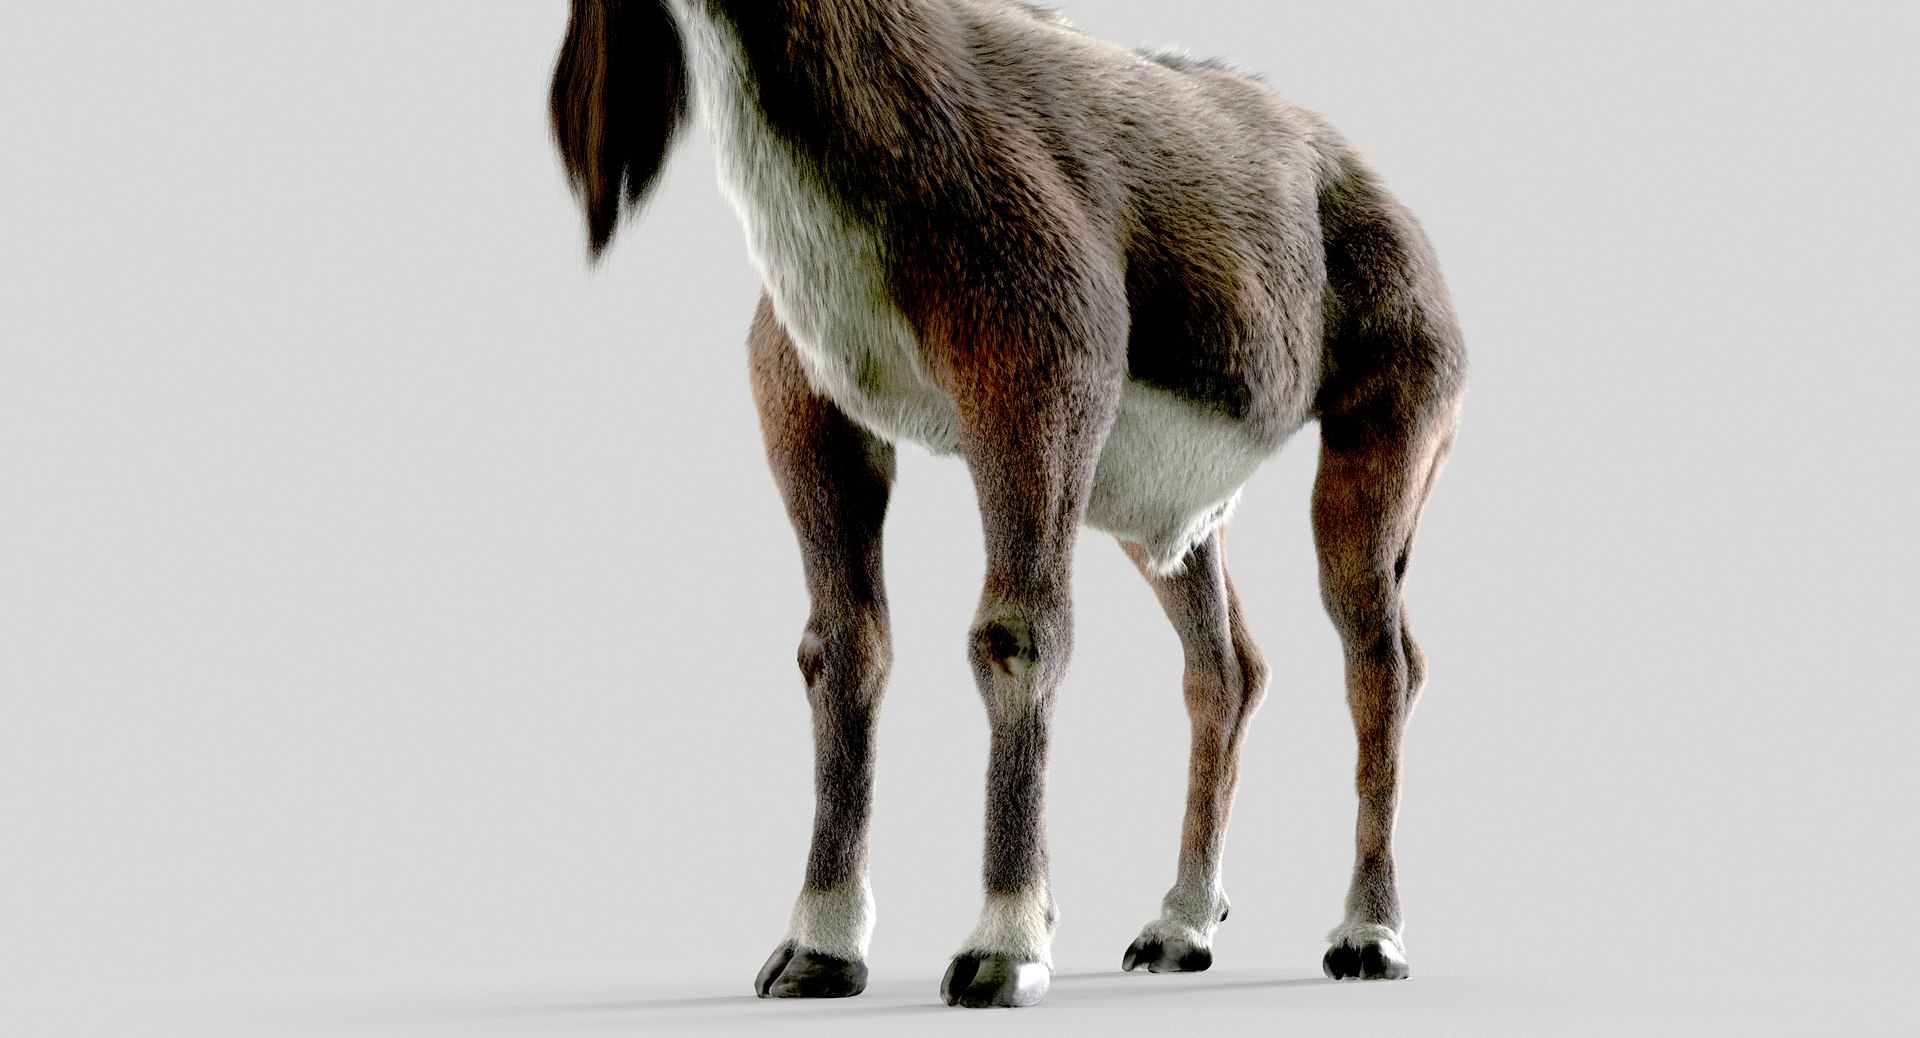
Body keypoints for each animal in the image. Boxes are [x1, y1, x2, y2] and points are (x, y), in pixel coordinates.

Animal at [550, 0, 1466, 1008]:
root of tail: (1372, 194)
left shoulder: (1034, 388)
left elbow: (1016, 637)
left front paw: (1004, 947)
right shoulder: (816, 414)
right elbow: (841, 651)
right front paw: (819, 948)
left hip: (1382, 444)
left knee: (1381, 662)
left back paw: (1369, 935)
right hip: (1162, 518)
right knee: (1227, 670)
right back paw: (1181, 926)